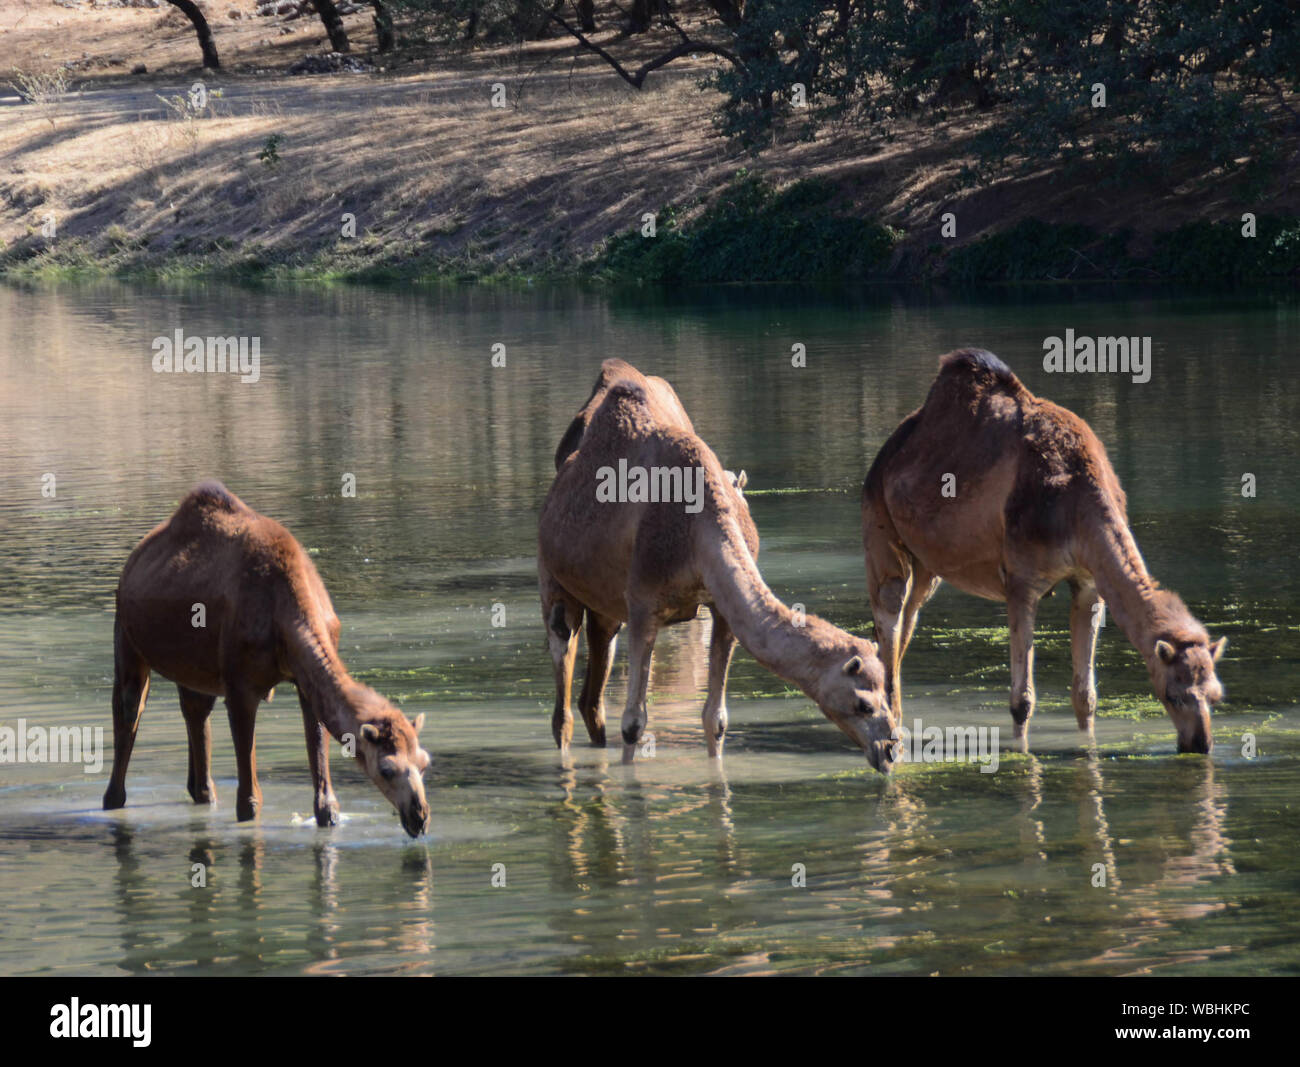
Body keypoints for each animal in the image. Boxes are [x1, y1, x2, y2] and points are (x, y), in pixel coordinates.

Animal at [103, 481, 432, 836]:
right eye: (386, 769)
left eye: (425, 762)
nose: (420, 815)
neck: (288, 618)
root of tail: (131, 562)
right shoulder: (239, 688)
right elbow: (249, 802)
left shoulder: (304, 683)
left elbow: (324, 798)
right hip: (126, 638)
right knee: (128, 709)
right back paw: (112, 798)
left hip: (194, 669)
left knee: (195, 713)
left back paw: (202, 791)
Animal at [538, 359, 897, 771]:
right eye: (863, 703)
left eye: (885, 694)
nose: (890, 749)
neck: (699, 528)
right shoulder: (644, 603)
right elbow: (633, 723)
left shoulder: (720, 610)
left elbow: (716, 719)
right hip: (554, 579)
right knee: (562, 690)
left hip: (606, 609)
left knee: (592, 699)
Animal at [862, 349, 1226, 754]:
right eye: (1172, 694)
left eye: (1216, 696)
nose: (1200, 744)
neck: (1074, 502)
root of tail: (886, 454)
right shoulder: (1021, 582)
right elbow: (1021, 700)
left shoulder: (1088, 584)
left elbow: (1085, 695)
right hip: (879, 522)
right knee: (889, 614)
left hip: (928, 565)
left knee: (905, 624)